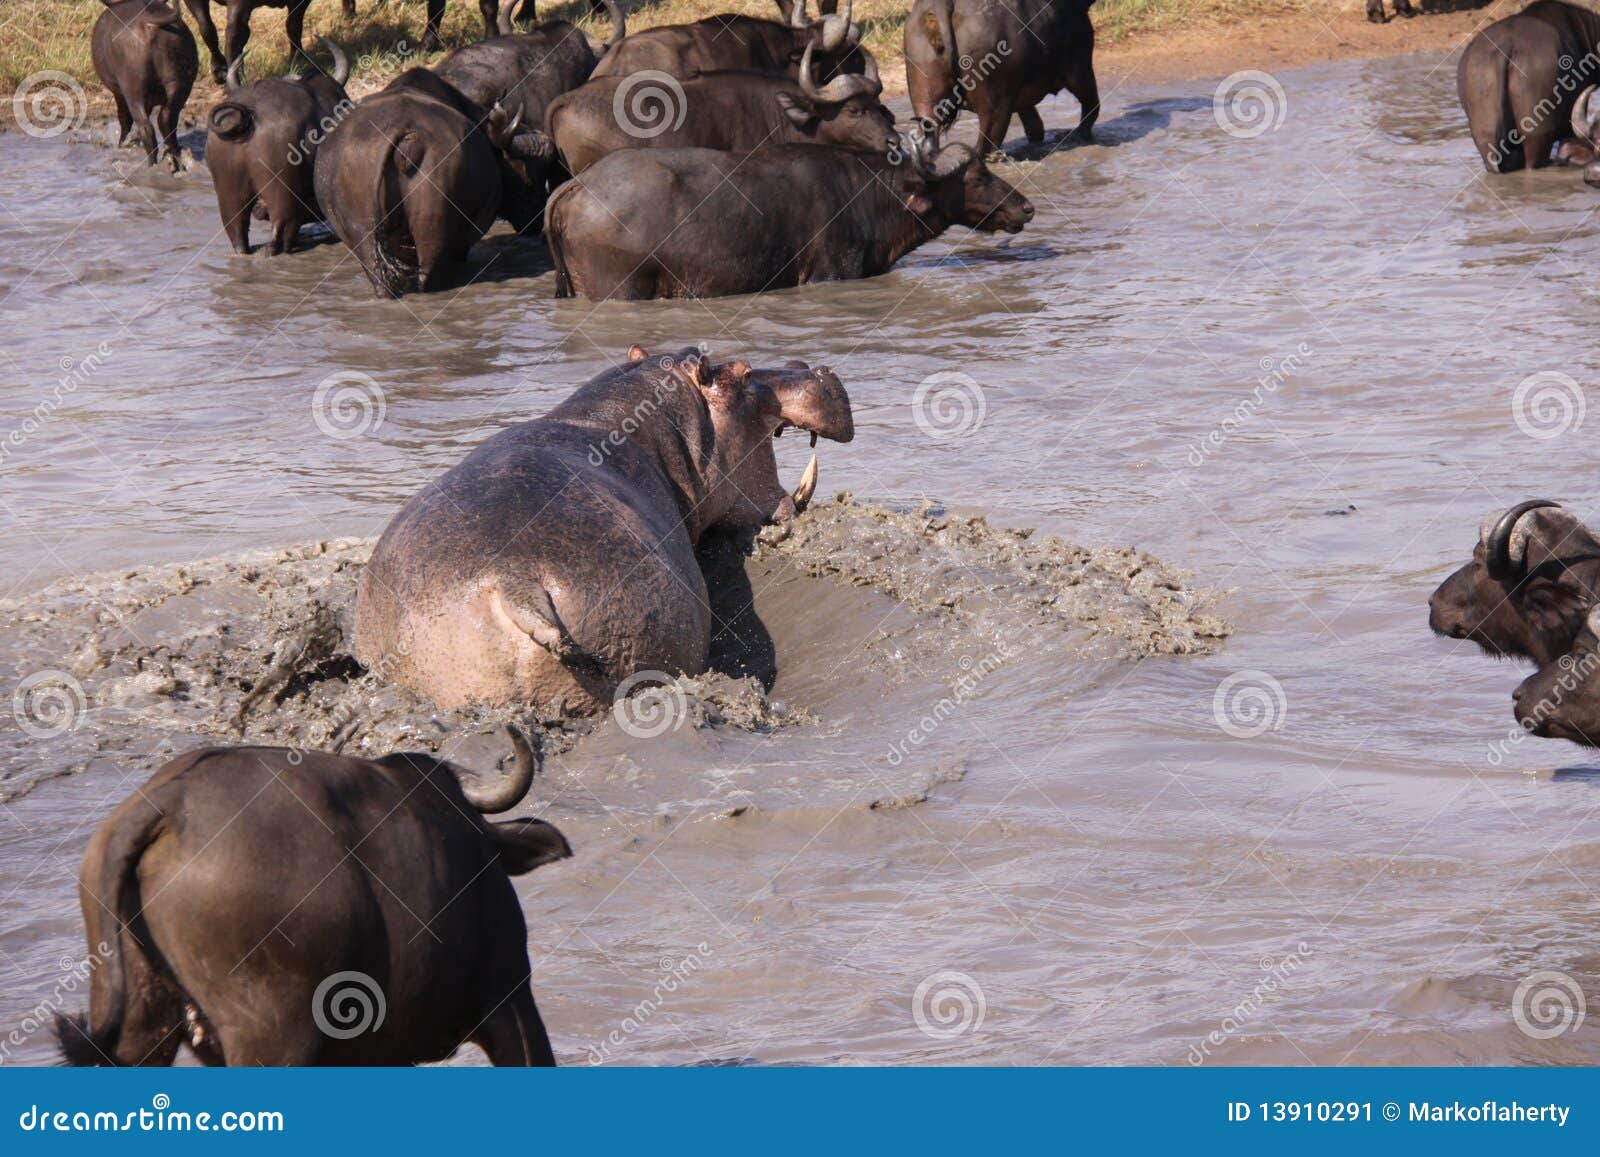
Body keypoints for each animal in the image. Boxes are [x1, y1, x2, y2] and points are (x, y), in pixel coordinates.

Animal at [92, 0, 199, 171]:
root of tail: (150, 22)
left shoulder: (118, 92)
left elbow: (124, 117)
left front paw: (123, 144)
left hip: (132, 89)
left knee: (146, 127)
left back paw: (151, 164)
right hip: (180, 84)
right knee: (167, 119)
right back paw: (176, 158)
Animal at [314, 69, 544, 295]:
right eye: (531, 171)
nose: (537, 219)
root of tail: (407, 139)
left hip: (363, 232)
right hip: (434, 220)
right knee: (427, 276)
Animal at [545, 132, 1033, 300]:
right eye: (977, 174)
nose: (1025, 206)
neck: (869, 197)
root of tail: (577, 185)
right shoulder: (828, 275)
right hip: (621, 290)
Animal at [905, 0, 1099, 155]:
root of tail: (941, 6)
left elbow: (1032, 120)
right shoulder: (1080, 67)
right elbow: (1091, 103)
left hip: (924, 90)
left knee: (929, 126)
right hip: (996, 103)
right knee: (986, 142)